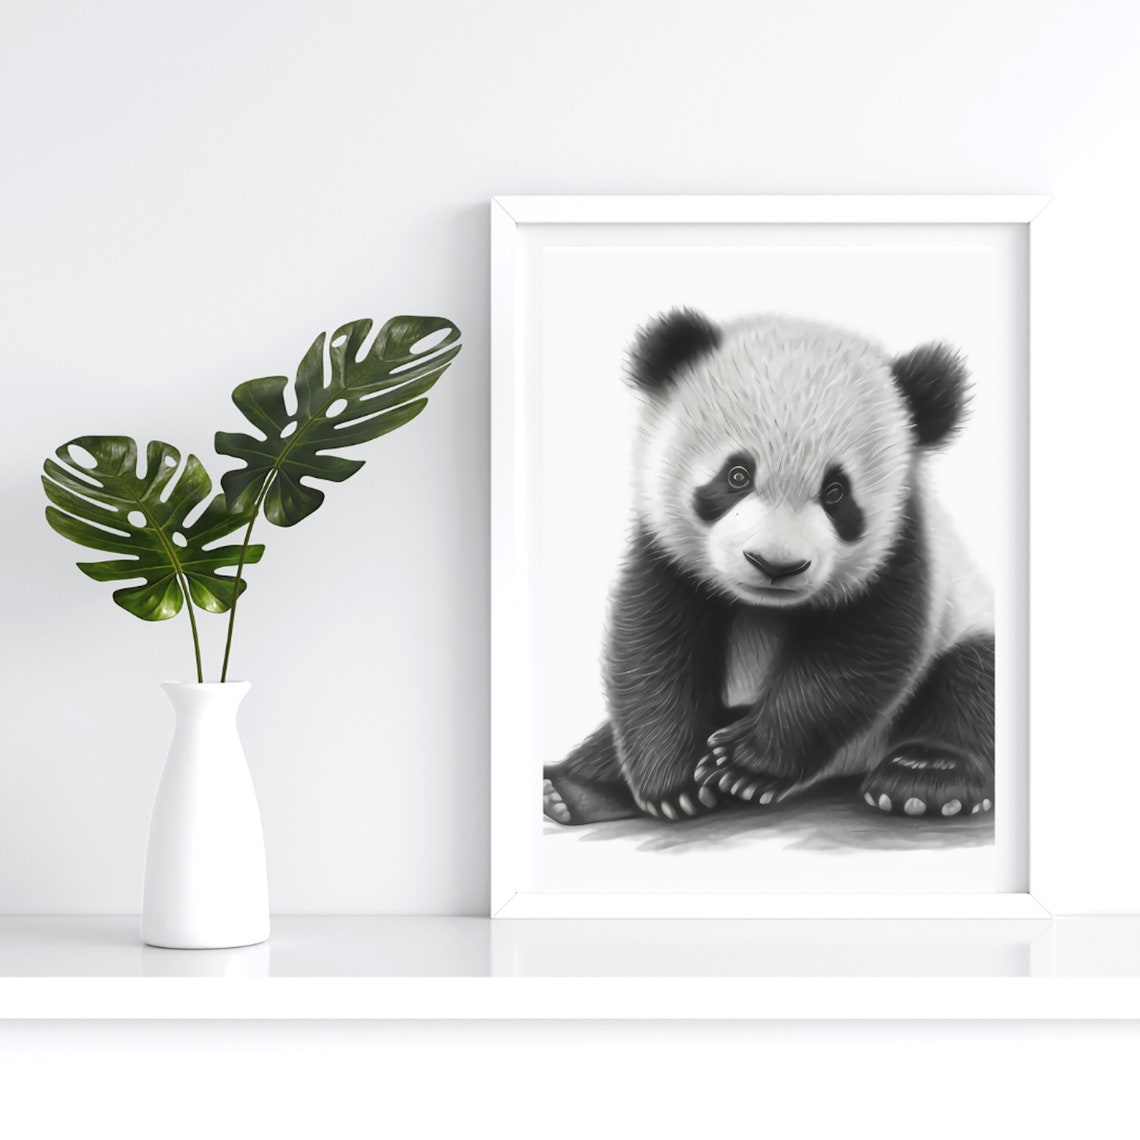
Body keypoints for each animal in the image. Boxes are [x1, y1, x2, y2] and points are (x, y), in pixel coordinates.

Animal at [543, 309, 995, 827]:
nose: (775, 565)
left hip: (958, 632)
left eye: (836, 493)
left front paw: (743, 764)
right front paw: (674, 783)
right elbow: (651, 647)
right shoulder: (665, 549)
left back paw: (923, 780)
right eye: (737, 475)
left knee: (970, 684)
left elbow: (861, 652)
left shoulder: (904, 550)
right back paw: (573, 788)